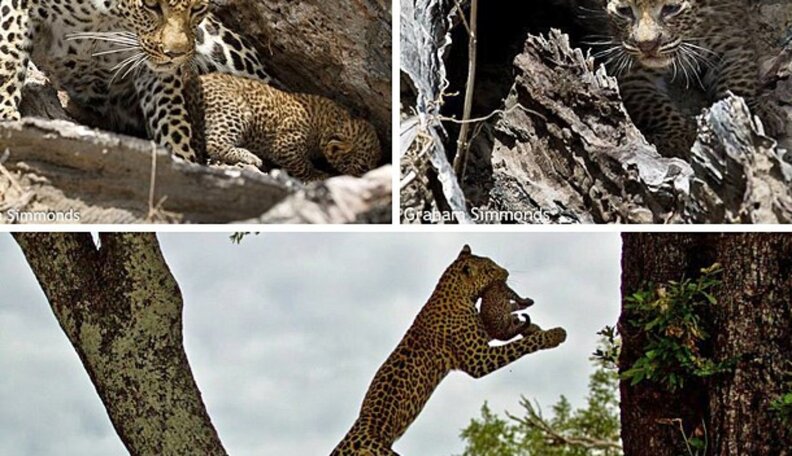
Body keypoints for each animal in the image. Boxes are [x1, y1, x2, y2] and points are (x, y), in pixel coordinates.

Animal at [0, 0, 270, 161]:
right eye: (151, 6)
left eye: (197, 9)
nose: (177, 54)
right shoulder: (18, 7)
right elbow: (8, 58)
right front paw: (7, 117)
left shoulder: (153, 65)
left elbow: (173, 119)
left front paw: (181, 161)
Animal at [185, 72, 382, 182]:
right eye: (362, 168)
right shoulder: (285, 145)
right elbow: (302, 164)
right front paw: (318, 176)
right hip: (235, 109)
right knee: (215, 144)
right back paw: (251, 157)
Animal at [331, 245, 567, 456]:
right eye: (490, 269)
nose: (506, 272)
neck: (457, 293)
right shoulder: (478, 360)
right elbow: (518, 346)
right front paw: (554, 335)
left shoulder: (481, 334)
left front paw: (532, 327)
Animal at [596, 0, 784, 158]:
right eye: (624, 10)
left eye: (671, 8)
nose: (647, 46)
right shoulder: (633, 75)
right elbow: (656, 107)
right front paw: (681, 138)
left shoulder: (732, 46)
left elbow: (737, 84)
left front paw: (748, 120)